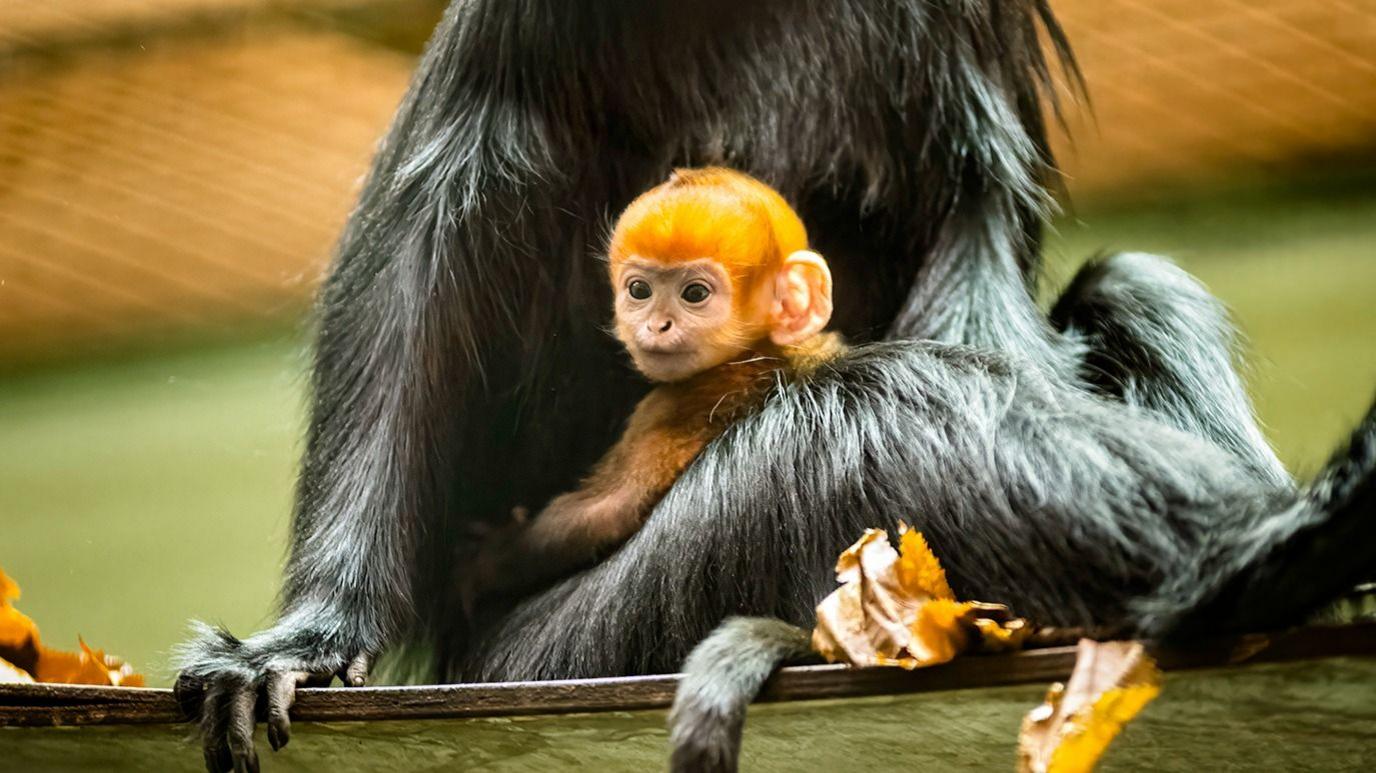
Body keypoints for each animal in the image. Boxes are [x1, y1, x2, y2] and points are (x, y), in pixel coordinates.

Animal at [462, 168, 846, 603]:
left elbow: (606, 511)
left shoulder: (671, 408)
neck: (757, 353)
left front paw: (486, 562)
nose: (658, 325)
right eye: (639, 291)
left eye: (694, 293)